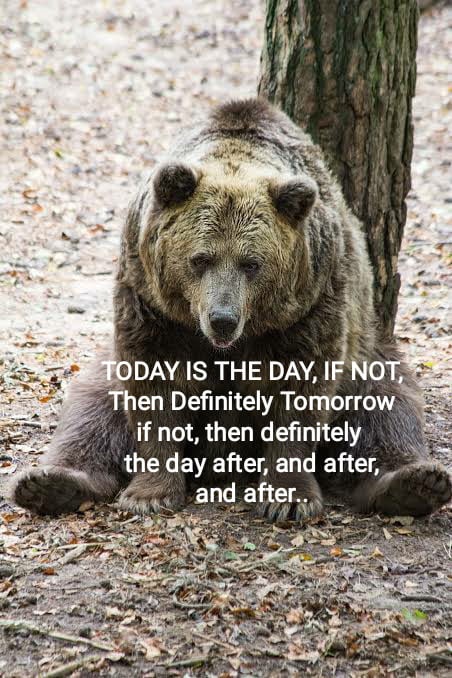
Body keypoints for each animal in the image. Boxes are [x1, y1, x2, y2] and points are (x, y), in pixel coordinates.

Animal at [9, 98, 451, 521]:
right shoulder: (151, 305)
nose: (222, 319)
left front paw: (288, 500)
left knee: (385, 413)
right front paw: (150, 494)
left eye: (251, 263)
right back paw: (50, 483)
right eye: (200, 259)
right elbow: (150, 390)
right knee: (91, 415)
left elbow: (302, 393)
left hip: (367, 355)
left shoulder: (309, 305)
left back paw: (414, 483)